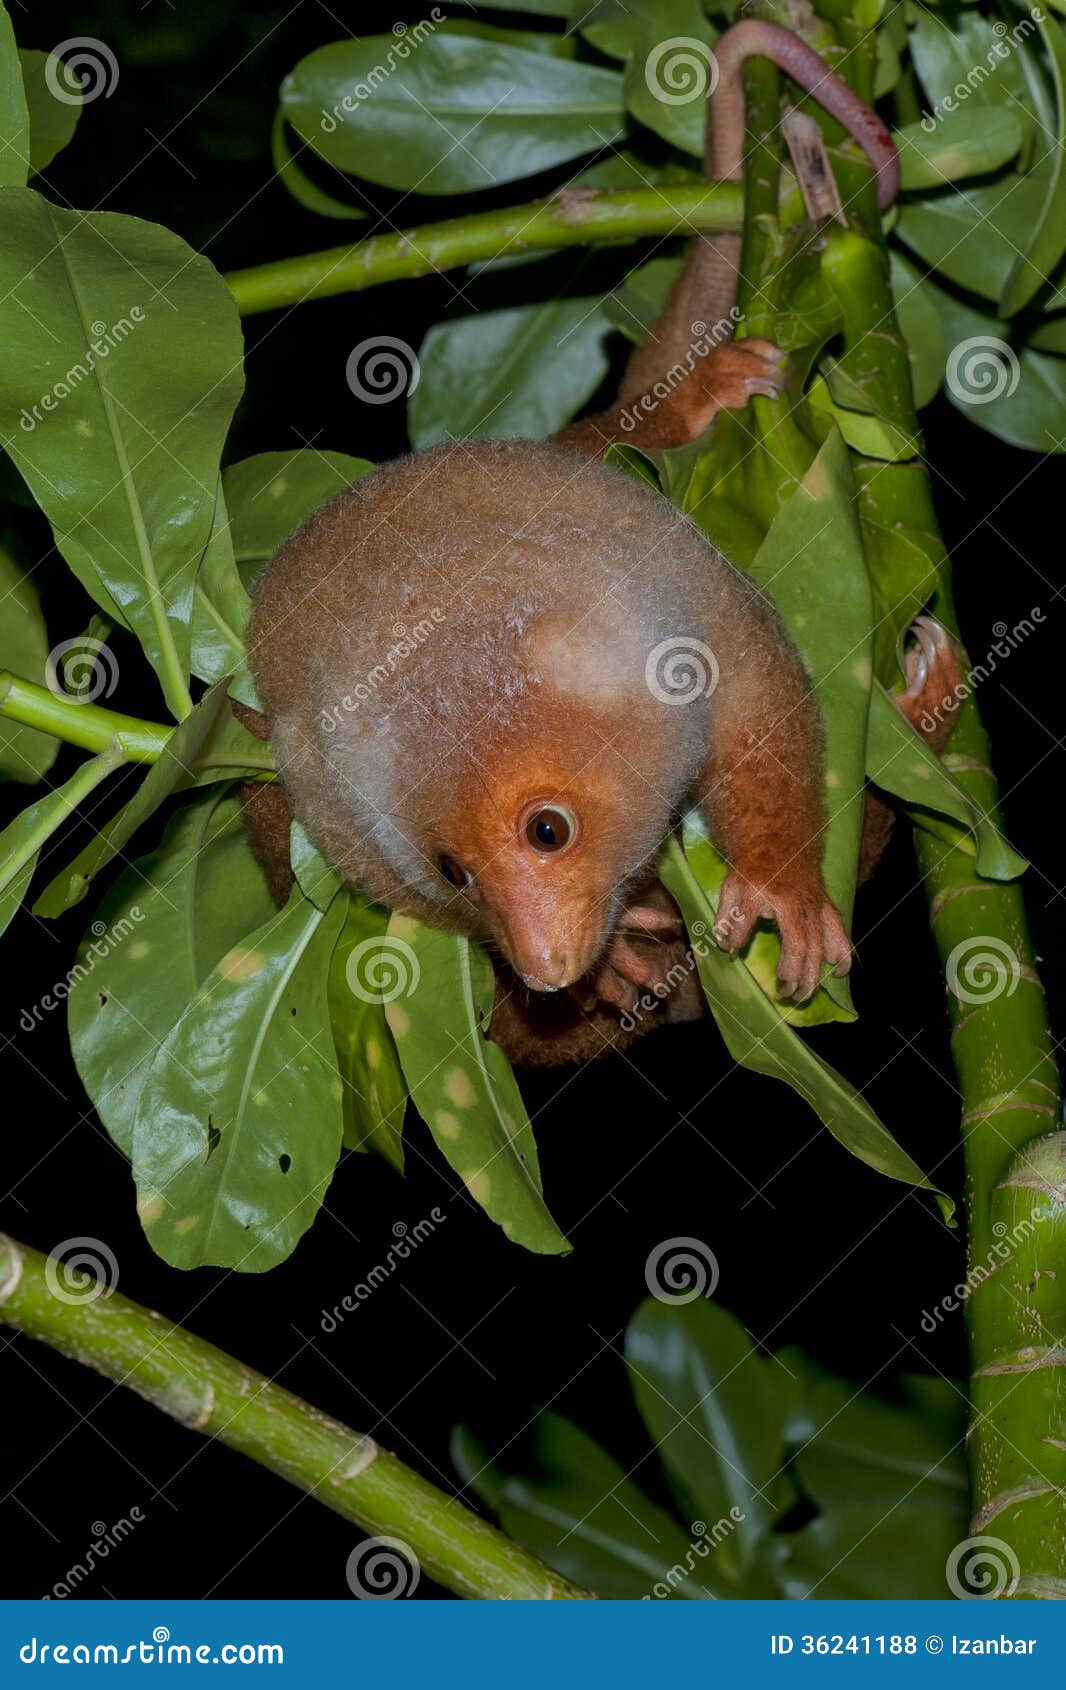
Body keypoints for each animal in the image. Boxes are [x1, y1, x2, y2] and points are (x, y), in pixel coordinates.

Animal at [239, 20, 960, 1068]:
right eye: (452, 874)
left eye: (549, 832)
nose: (543, 968)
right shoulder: (328, 798)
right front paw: (601, 961)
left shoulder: (681, 595)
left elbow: (766, 703)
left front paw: (780, 876)